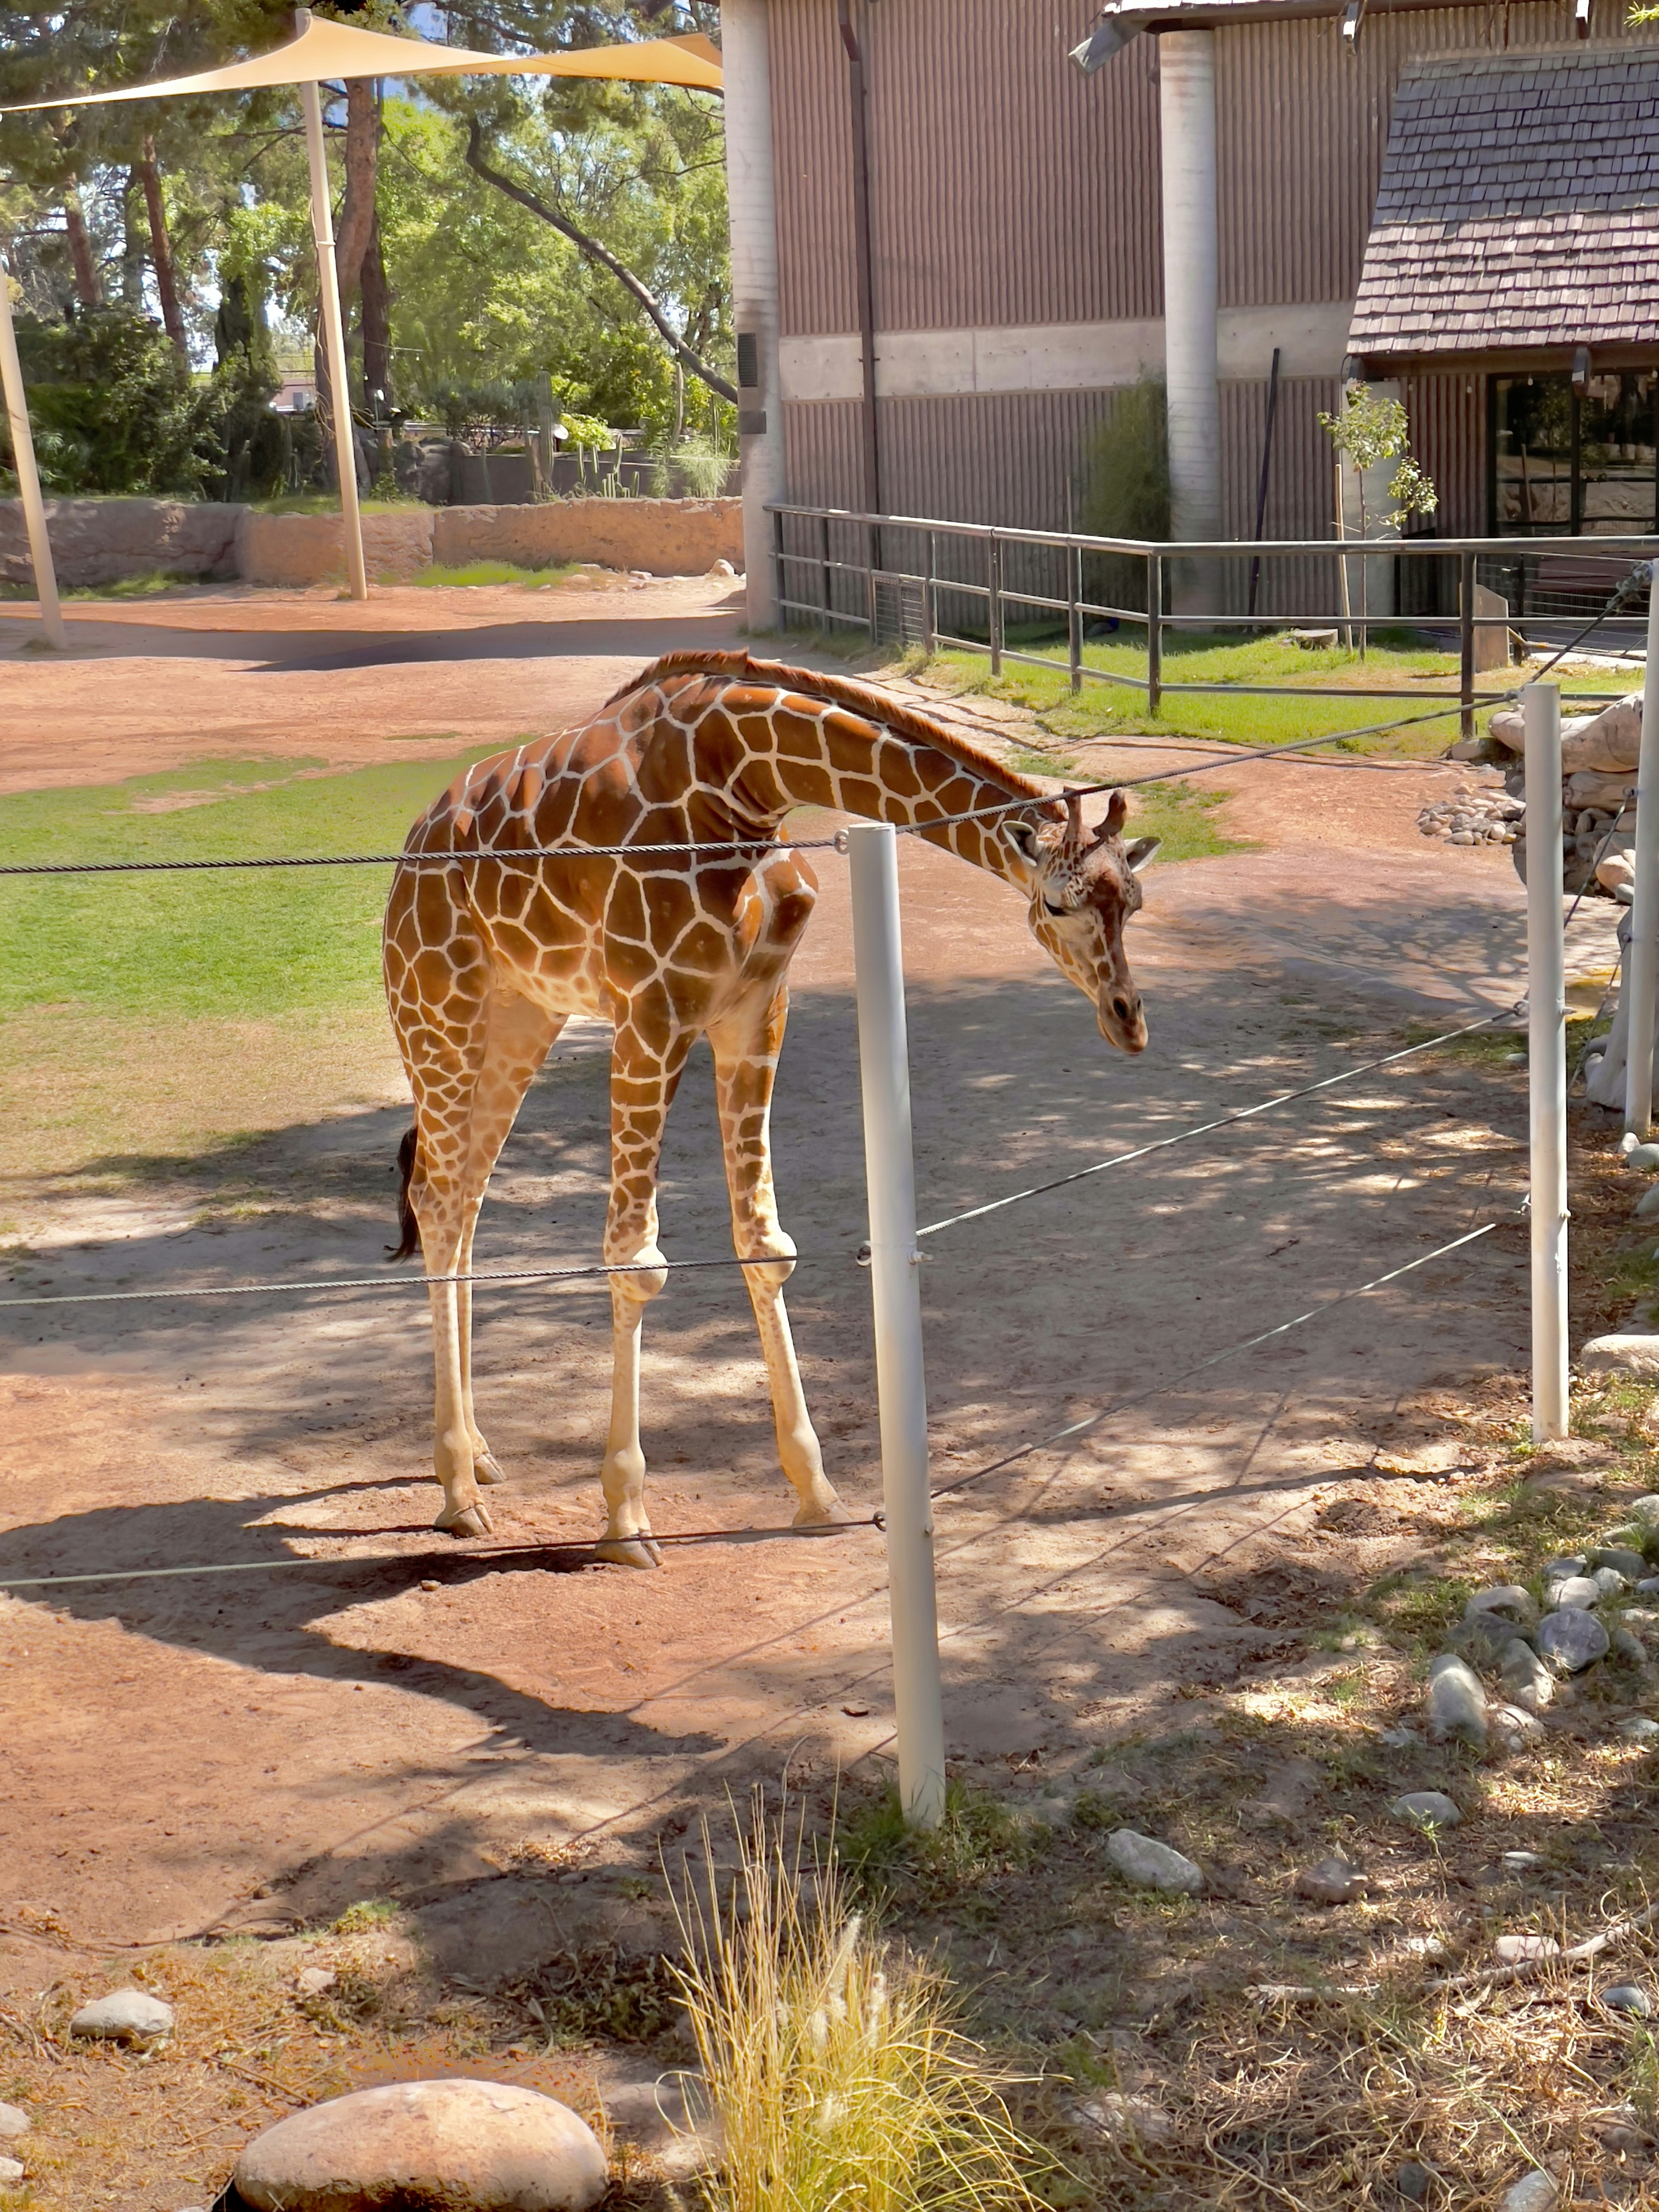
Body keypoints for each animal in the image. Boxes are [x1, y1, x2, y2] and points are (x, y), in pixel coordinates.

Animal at [381, 650, 1159, 1566]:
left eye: (1134, 902)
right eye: (1060, 904)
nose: (1128, 1021)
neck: (743, 778)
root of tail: (410, 852)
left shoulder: (756, 1007)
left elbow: (766, 1246)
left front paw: (816, 1491)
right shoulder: (651, 1011)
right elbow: (635, 1261)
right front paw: (626, 1518)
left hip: (521, 1014)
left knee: (462, 1202)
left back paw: (478, 1457)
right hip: (439, 1006)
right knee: (436, 1200)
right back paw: (458, 1492)